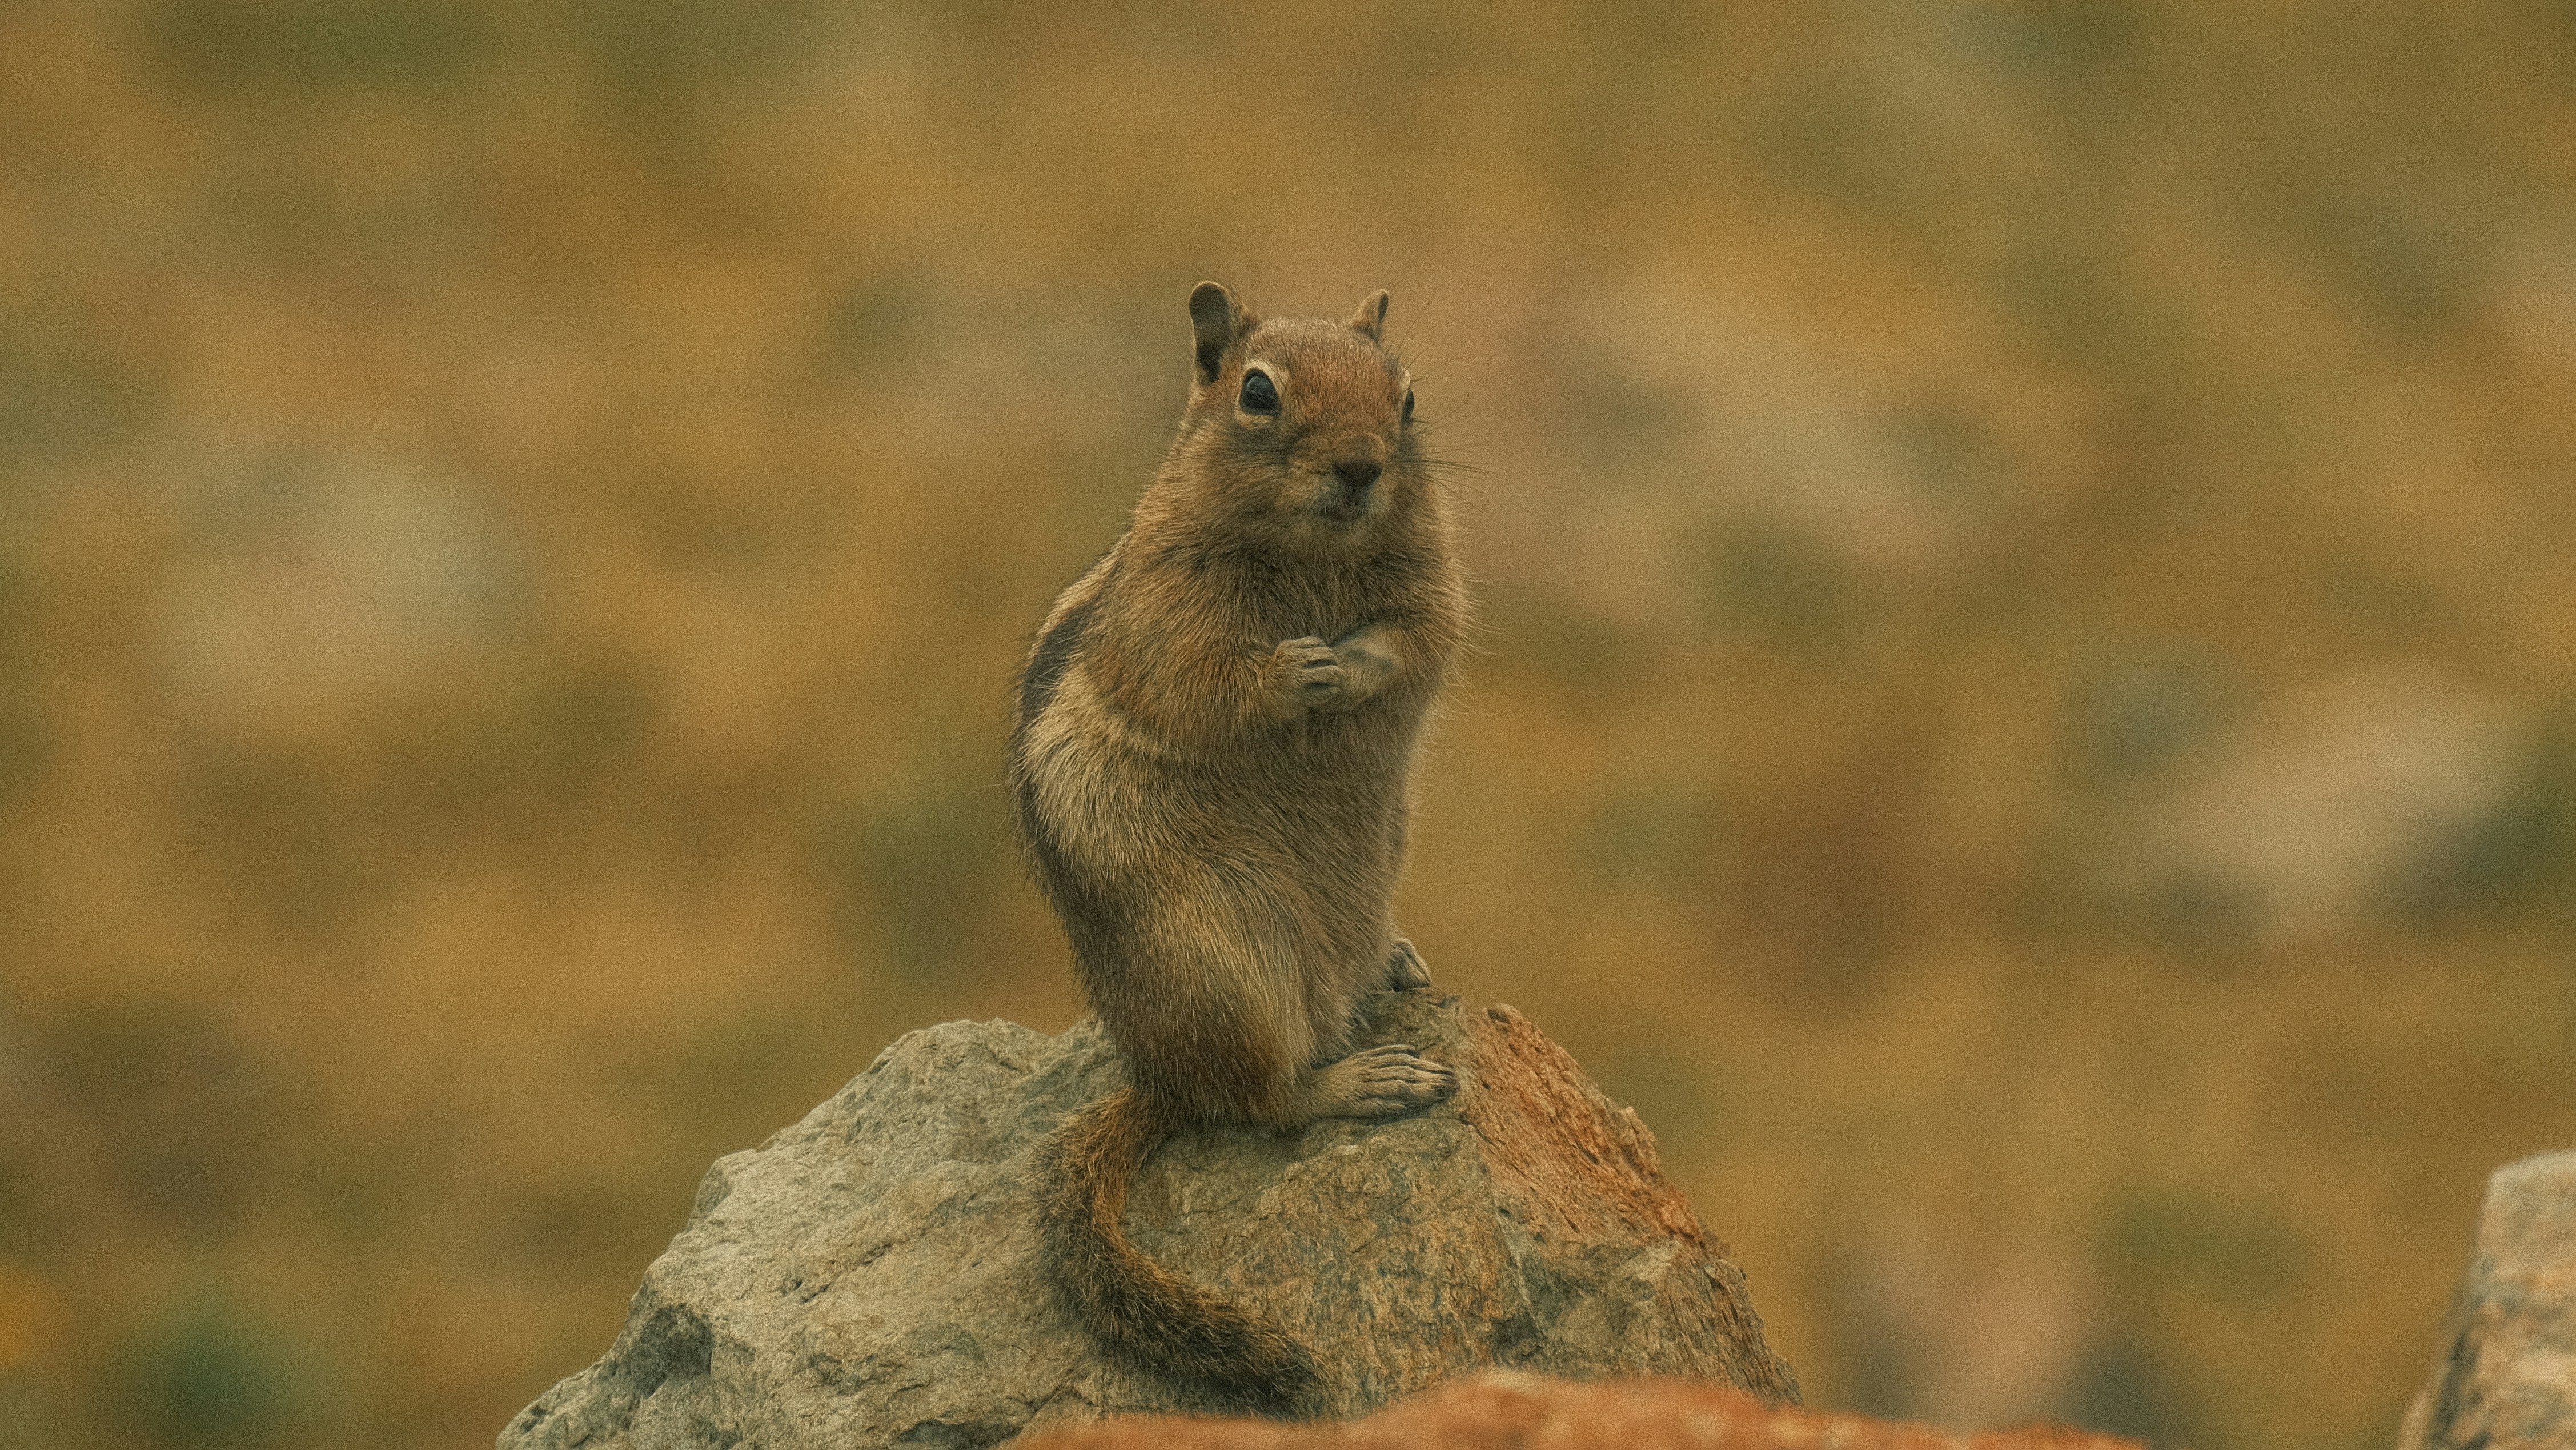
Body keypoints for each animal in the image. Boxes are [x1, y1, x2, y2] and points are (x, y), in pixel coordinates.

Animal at [1010, 282, 1470, 1411]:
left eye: (1404, 395)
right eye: (1258, 393)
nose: (1361, 465)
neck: (1314, 554)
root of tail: (1162, 1077)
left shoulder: (1436, 575)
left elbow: (1420, 634)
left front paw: (1351, 668)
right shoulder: (1164, 617)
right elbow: (1204, 680)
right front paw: (1294, 671)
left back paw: (1390, 962)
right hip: (1225, 957)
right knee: (1267, 1102)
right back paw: (1367, 1081)